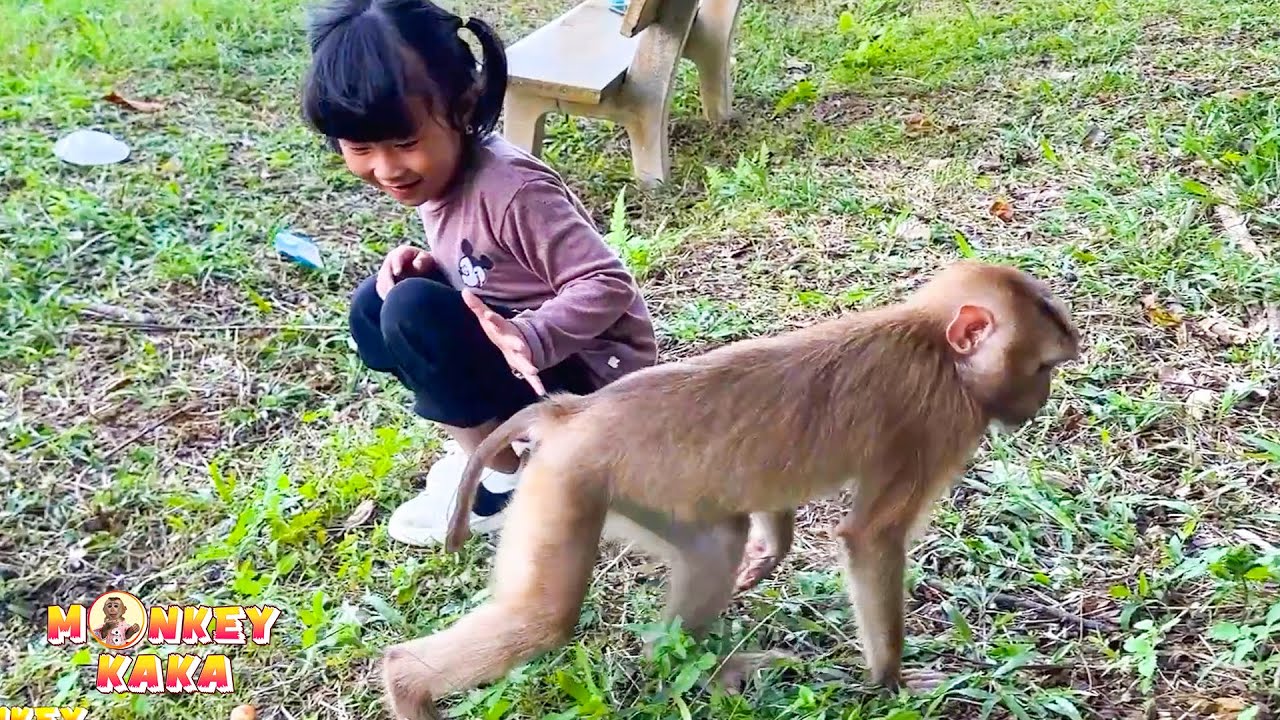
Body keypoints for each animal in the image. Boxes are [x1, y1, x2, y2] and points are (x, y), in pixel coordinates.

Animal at [381, 261, 1081, 719]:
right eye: (1042, 367)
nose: (1040, 400)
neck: (933, 342)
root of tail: (571, 411)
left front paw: (771, 553)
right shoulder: (941, 424)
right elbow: (870, 537)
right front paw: (891, 681)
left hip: (622, 490)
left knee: (714, 544)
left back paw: (693, 664)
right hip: (564, 484)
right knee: (543, 620)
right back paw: (406, 684)